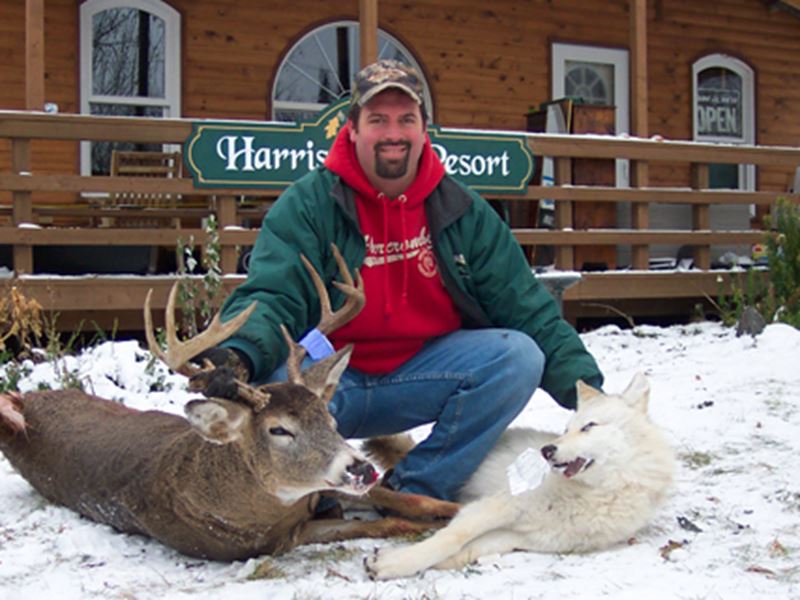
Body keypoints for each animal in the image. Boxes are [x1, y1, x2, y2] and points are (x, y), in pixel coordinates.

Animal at [364, 373, 675, 579]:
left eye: (588, 426)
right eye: (566, 429)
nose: (547, 450)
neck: (596, 493)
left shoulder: (524, 537)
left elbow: (465, 551)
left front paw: (390, 559)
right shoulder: (499, 505)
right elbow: (452, 538)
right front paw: (393, 563)